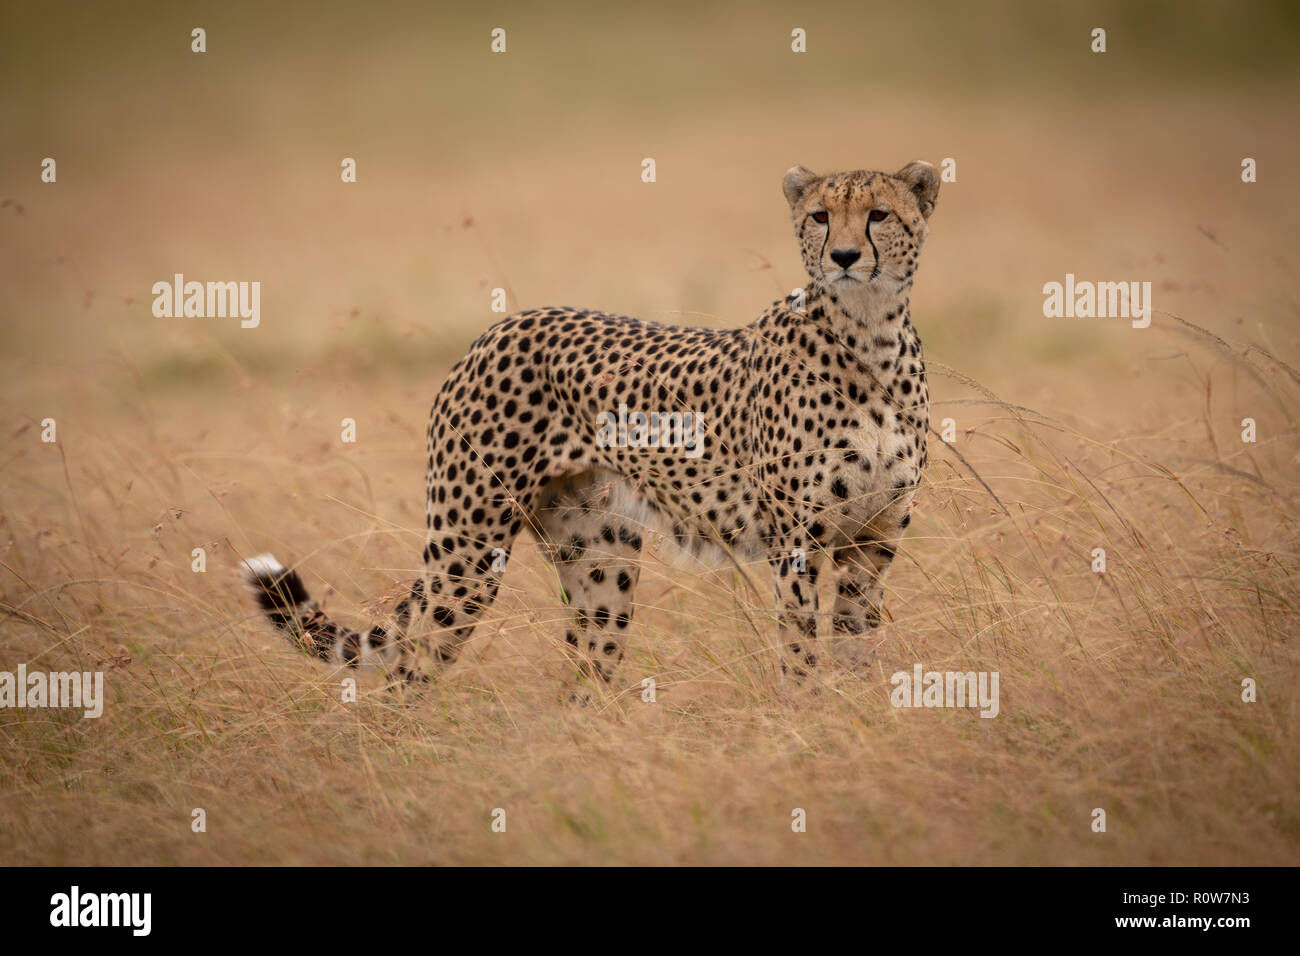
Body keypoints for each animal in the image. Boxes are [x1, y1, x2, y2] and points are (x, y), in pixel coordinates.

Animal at [243, 160, 939, 692]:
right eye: (820, 217)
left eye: (879, 215)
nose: (845, 256)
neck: (869, 335)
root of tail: (497, 327)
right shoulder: (796, 538)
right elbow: (801, 649)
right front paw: (807, 714)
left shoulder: (875, 538)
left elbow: (855, 643)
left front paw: (854, 712)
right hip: (469, 548)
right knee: (410, 669)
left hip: (599, 557)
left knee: (584, 676)